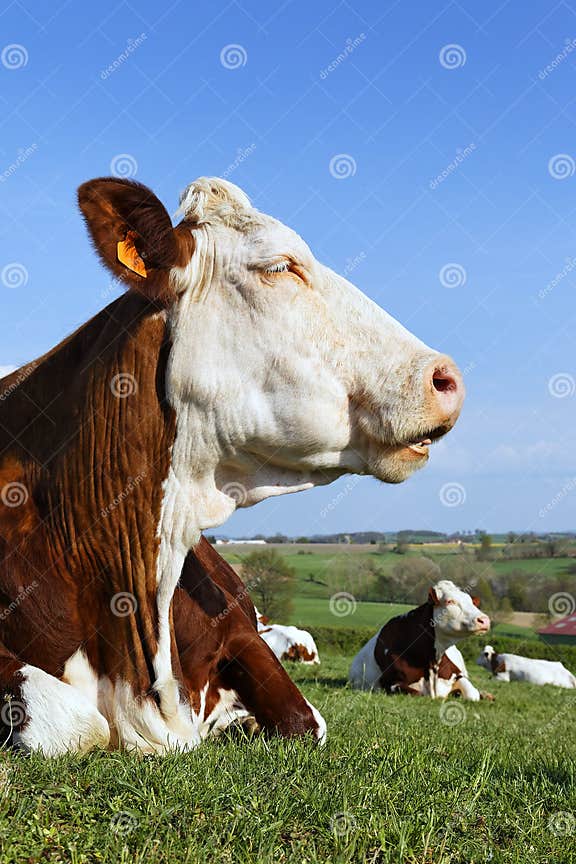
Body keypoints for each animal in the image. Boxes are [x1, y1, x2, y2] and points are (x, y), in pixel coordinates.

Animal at [349, 581, 490, 698]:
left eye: (472, 602)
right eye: (450, 602)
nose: (485, 620)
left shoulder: (458, 674)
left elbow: (472, 693)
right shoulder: (391, 684)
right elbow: (419, 693)